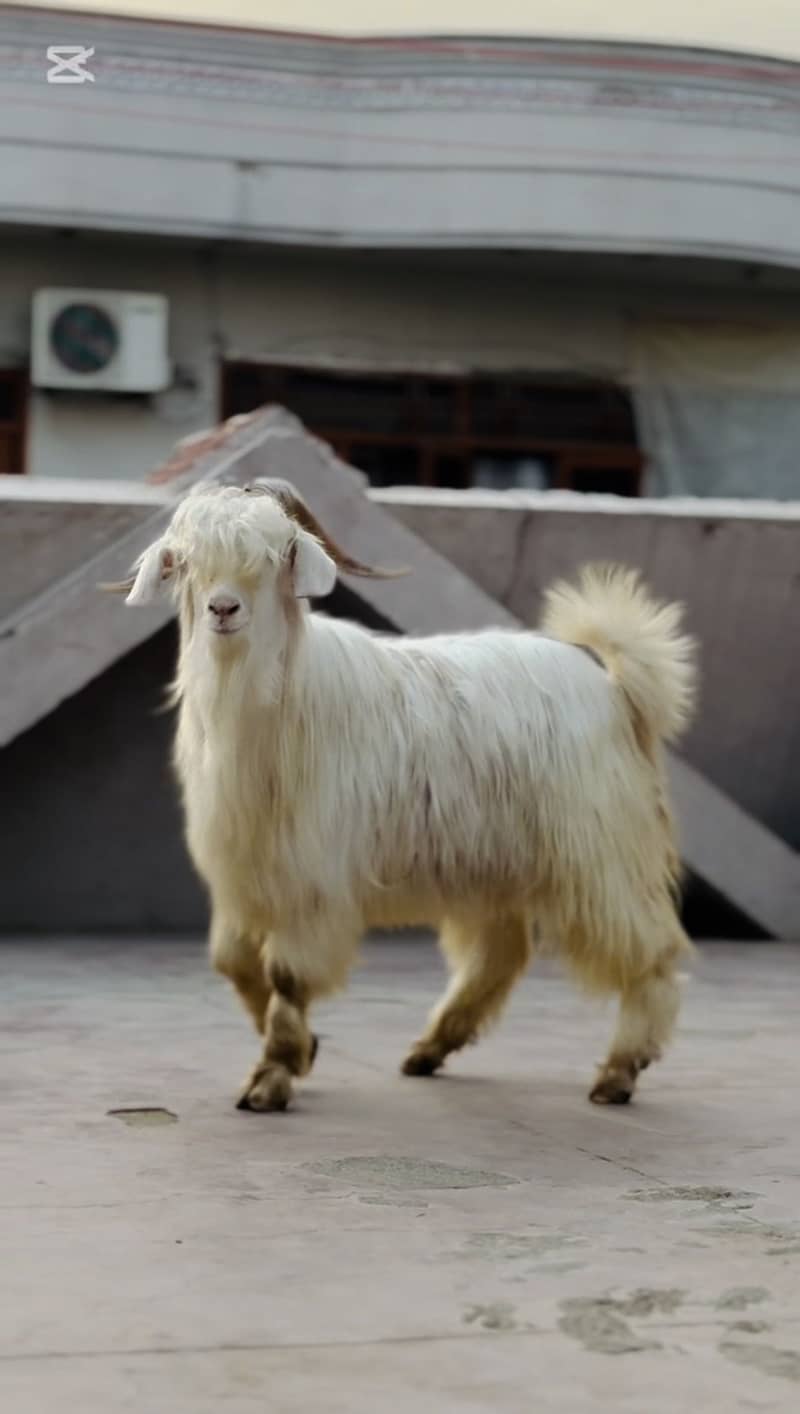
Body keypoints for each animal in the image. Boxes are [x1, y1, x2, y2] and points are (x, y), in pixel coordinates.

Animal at [110, 479, 696, 1113]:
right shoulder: (245, 875)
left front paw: (273, 1075)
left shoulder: (311, 880)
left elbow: (287, 975)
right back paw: (431, 1049)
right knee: (501, 953)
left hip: (599, 854)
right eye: (188, 562)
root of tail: (613, 685)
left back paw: (619, 1070)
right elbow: (236, 964)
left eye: (276, 557)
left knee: (650, 951)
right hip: (493, 863)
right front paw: (304, 1050)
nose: (223, 609)